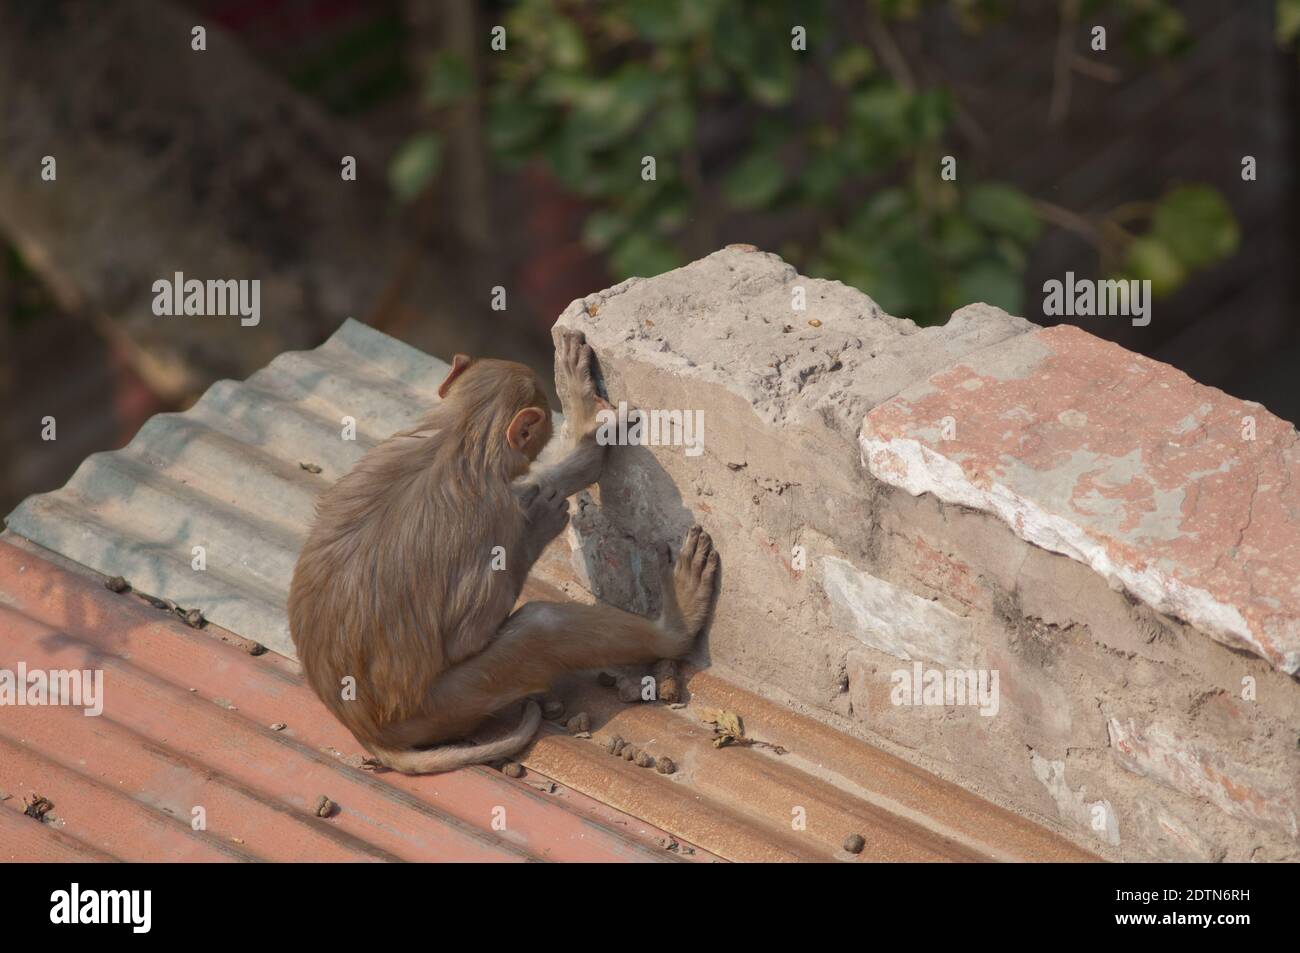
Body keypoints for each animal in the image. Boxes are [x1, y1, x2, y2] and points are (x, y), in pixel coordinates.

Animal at [288, 329, 719, 773]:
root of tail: (368, 732)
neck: (458, 438)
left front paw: (586, 433)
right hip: (449, 703)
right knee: (541, 627)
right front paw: (539, 522)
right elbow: (467, 637)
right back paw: (675, 628)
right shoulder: (496, 513)